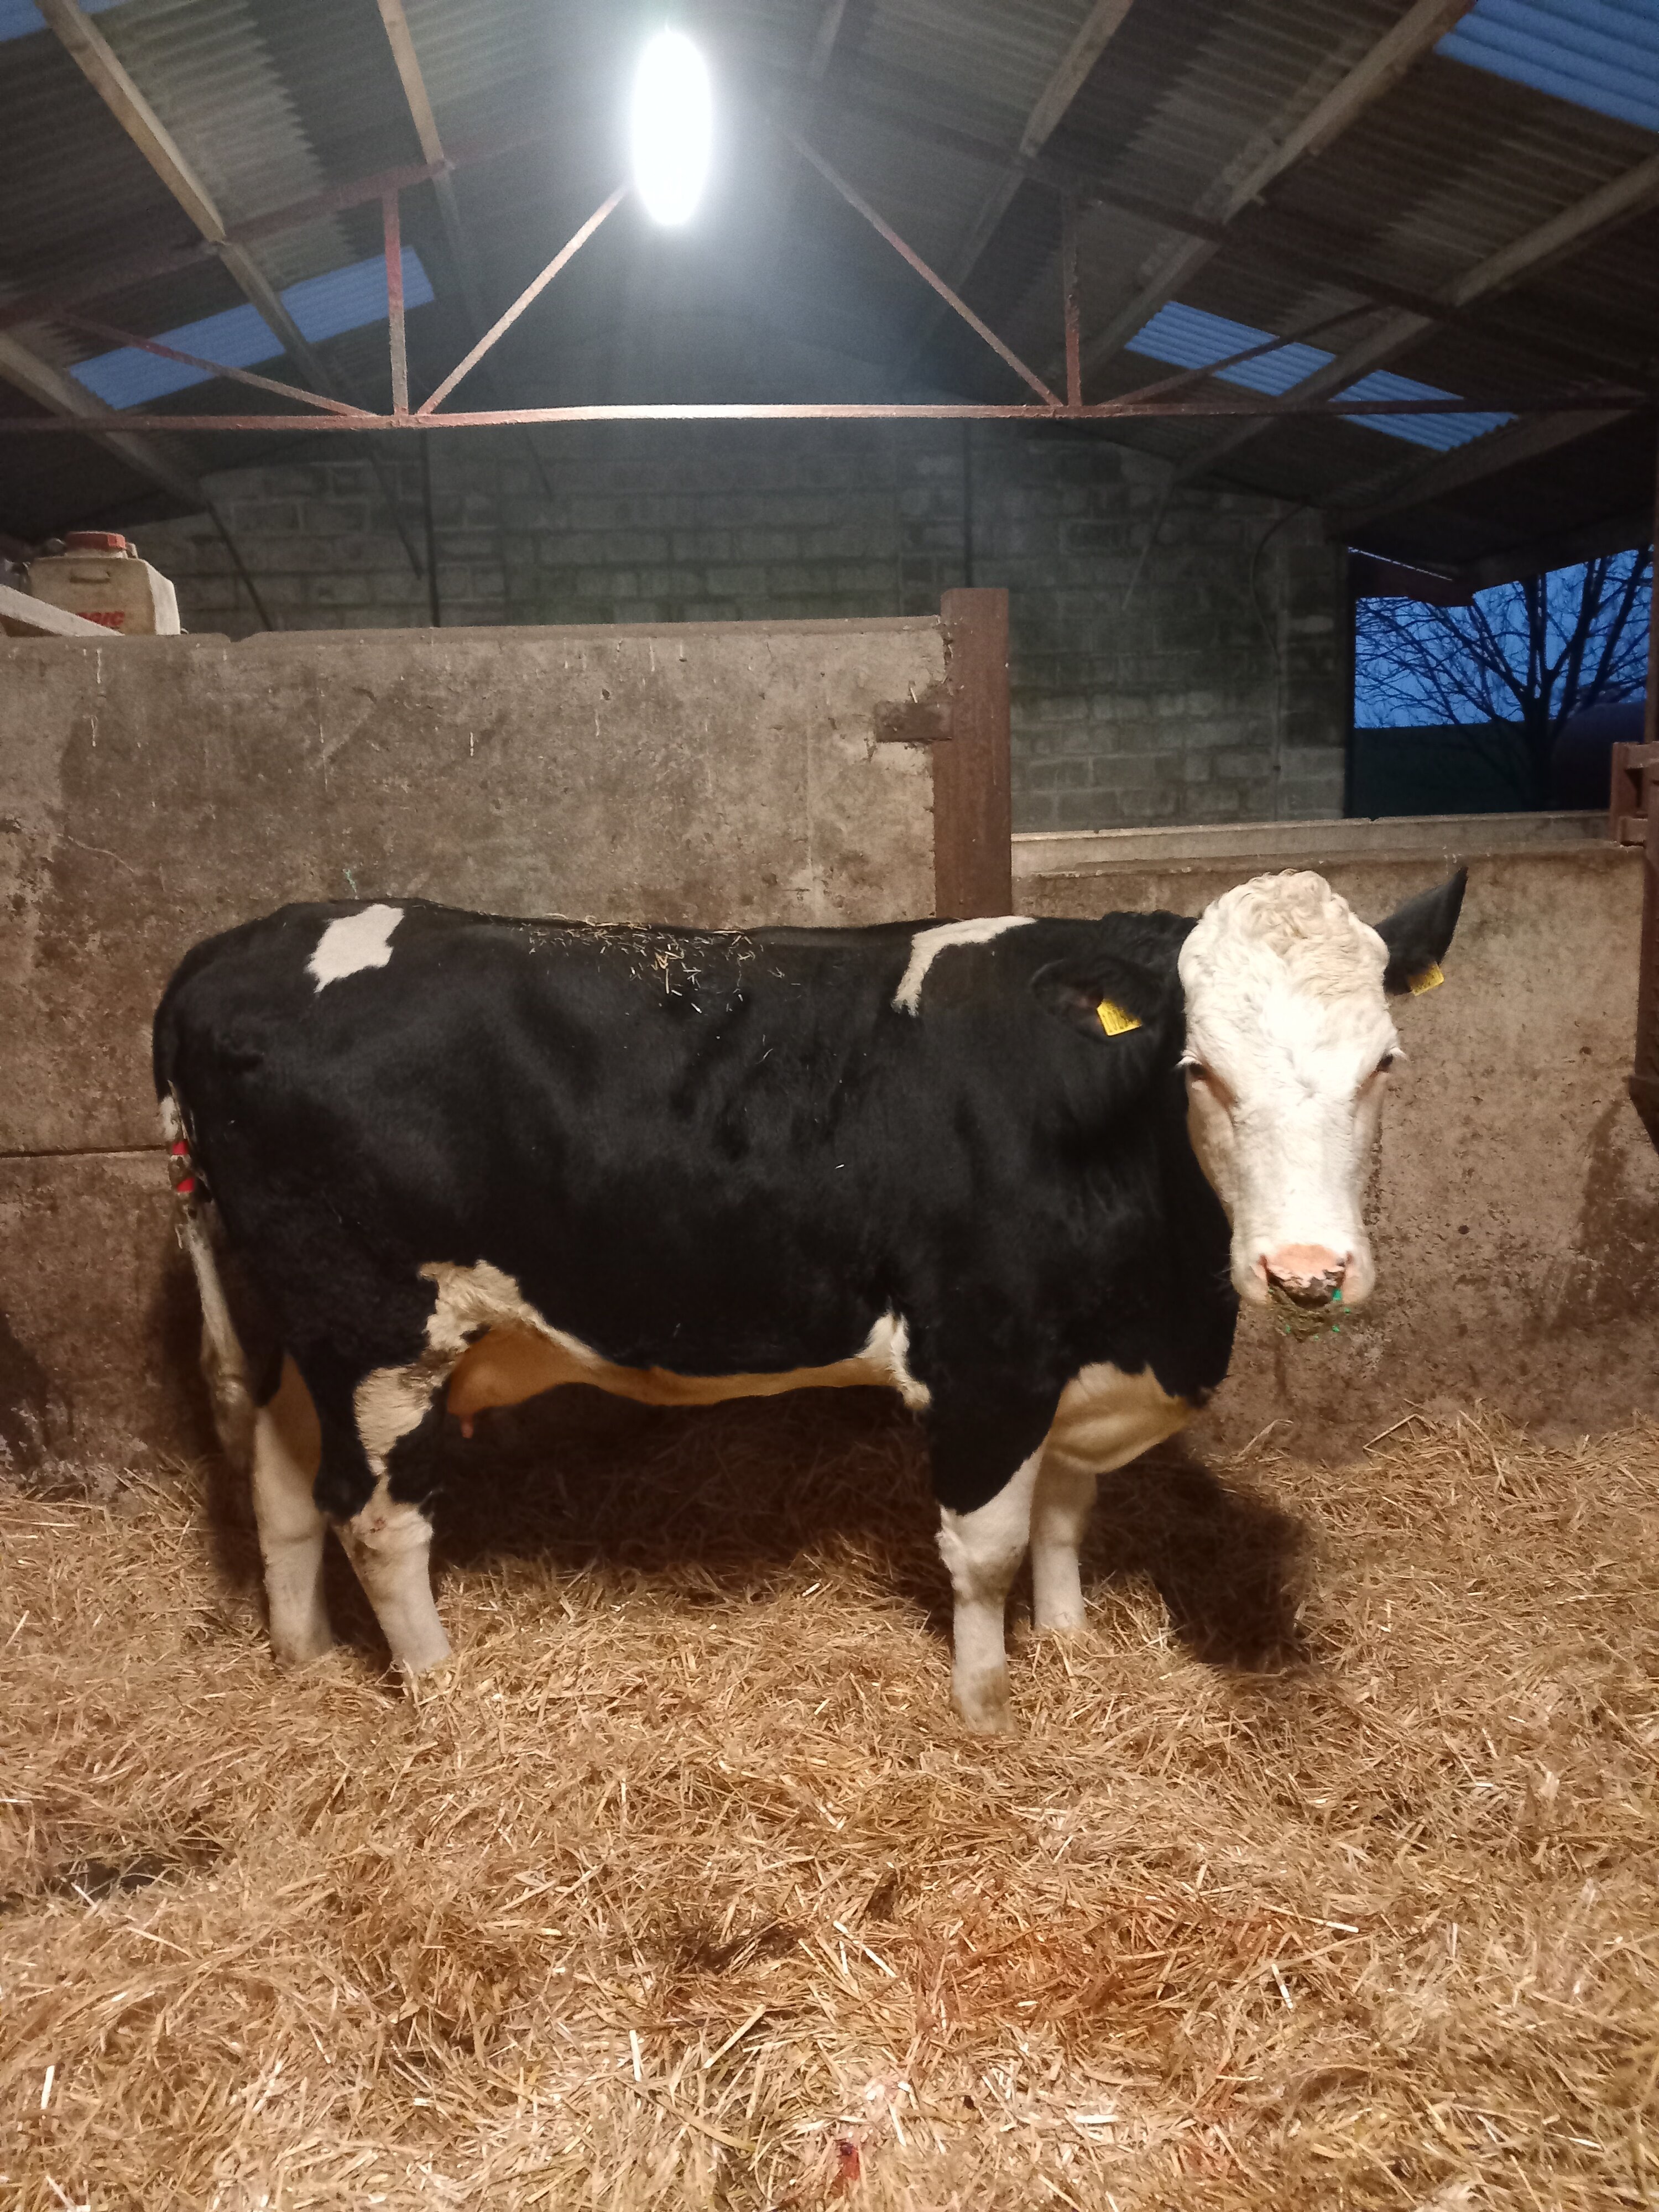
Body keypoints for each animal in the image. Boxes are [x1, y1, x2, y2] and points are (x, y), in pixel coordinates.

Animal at [153, 866, 1464, 1732]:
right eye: (1202, 1069)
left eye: (1383, 1063)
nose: (1306, 1269)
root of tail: (235, 948)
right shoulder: (984, 1356)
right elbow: (986, 1547)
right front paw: (986, 1711)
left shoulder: (1078, 1362)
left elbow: (1062, 1516)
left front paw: (1070, 1644)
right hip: (375, 1322)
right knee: (376, 1516)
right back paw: (438, 1693)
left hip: (304, 1327)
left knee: (281, 1475)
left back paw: (304, 1658)